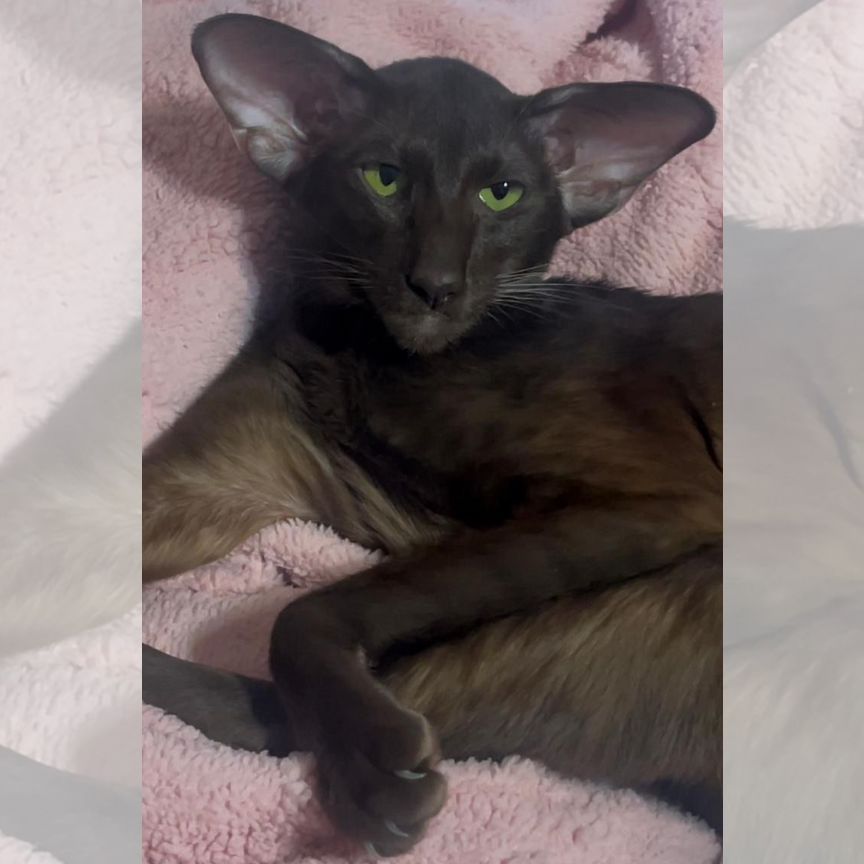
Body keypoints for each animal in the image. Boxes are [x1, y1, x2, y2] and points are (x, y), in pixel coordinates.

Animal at [143, 13, 721, 857]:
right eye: (384, 178)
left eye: (501, 192)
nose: (435, 285)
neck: (369, 357)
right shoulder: (209, 481)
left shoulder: (662, 499)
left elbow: (304, 613)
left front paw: (372, 772)